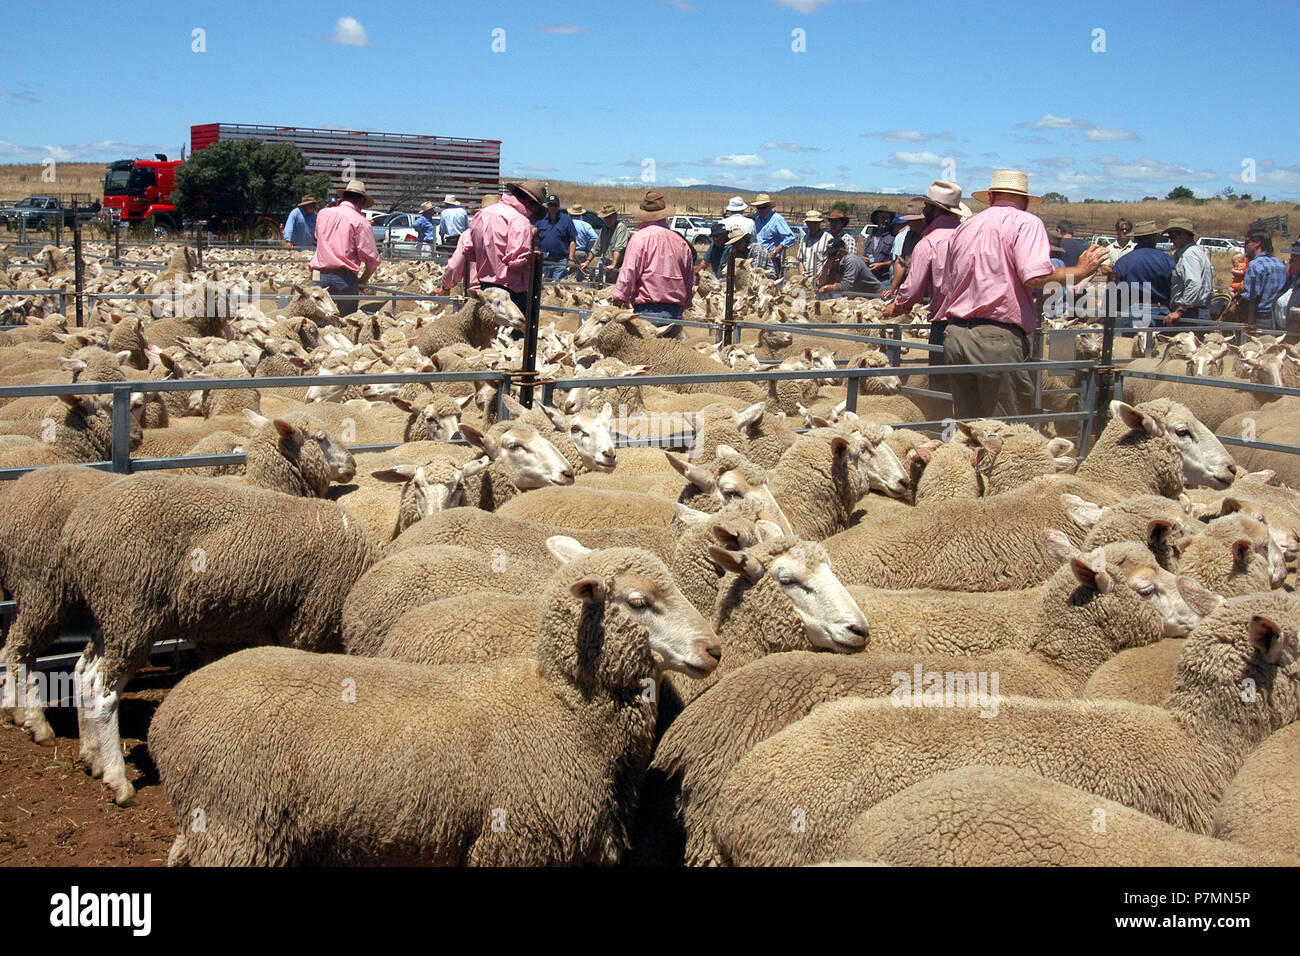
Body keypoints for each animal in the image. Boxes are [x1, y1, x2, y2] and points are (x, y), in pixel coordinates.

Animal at [60, 473, 381, 804]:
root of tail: (76, 527)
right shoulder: (307, 626)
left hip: (109, 613)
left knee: (84, 671)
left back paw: (92, 755)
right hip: (129, 608)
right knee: (104, 690)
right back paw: (118, 779)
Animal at [149, 546, 720, 865]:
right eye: (639, 602)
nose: (713, 648)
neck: (564, 711)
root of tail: (167, 712)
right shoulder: (511, 844)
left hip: (216, 824)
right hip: (238, 827)